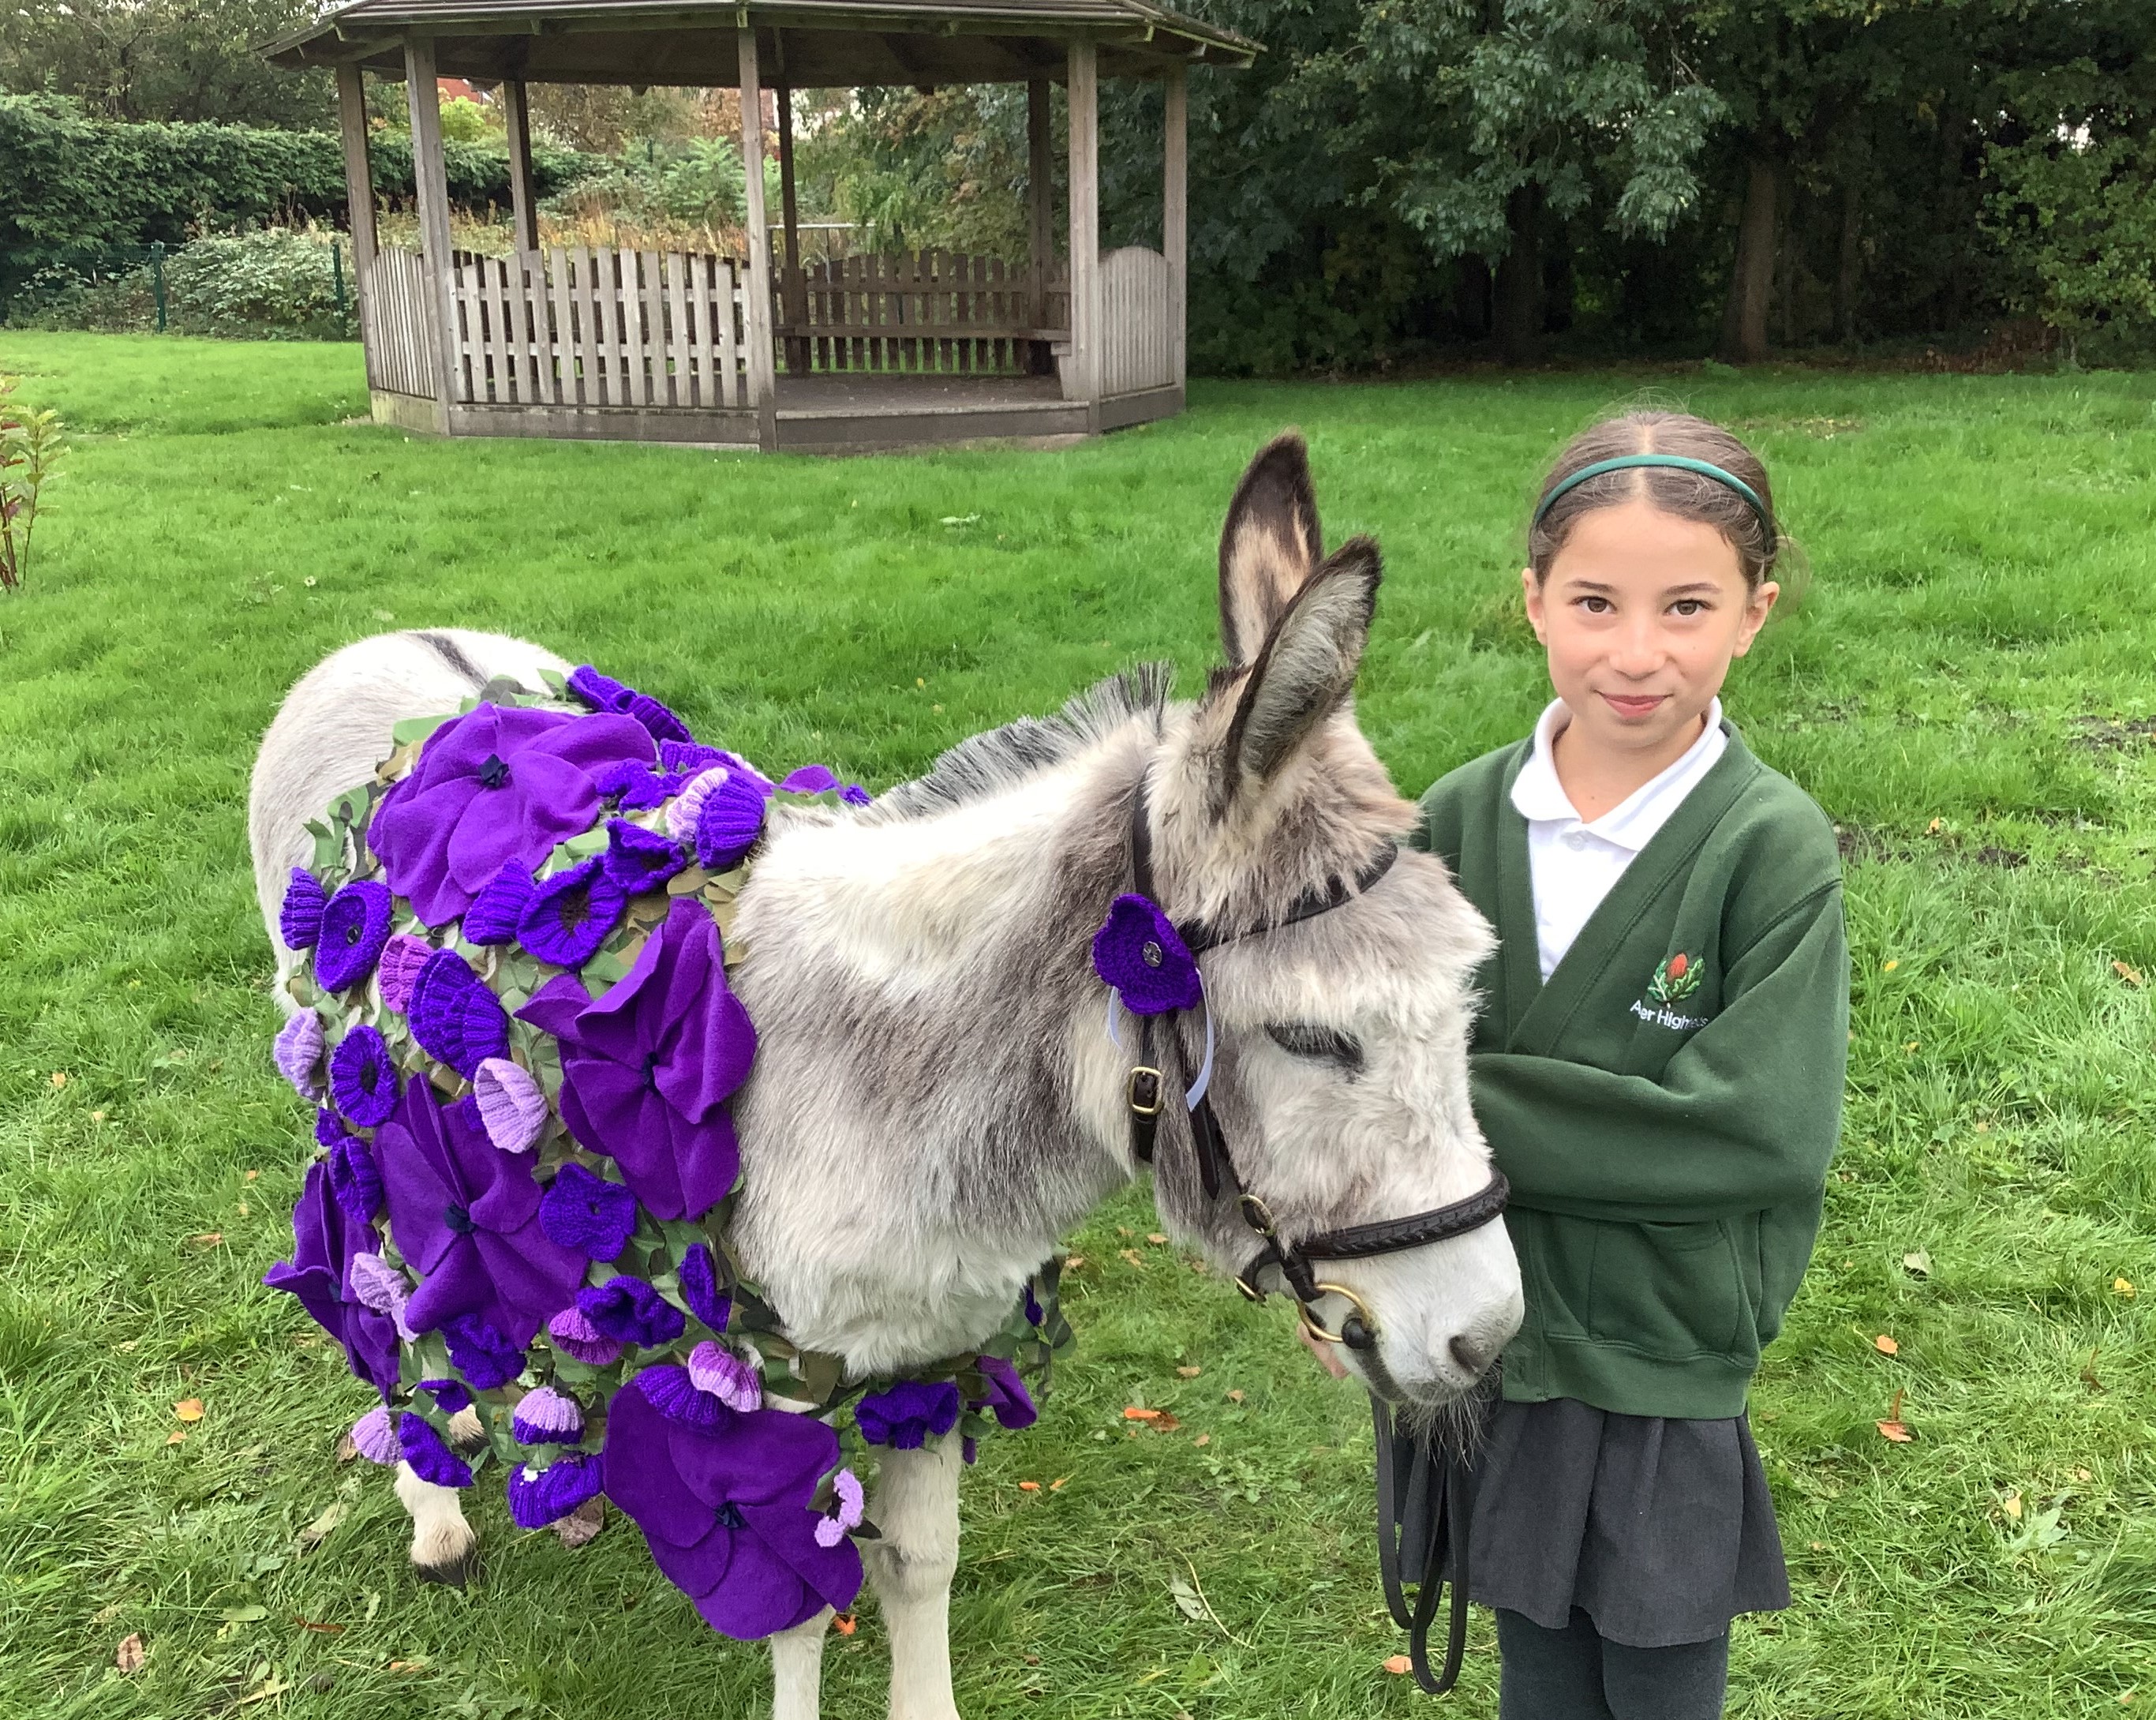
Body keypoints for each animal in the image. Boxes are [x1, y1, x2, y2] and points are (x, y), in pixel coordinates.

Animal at [247, 434, 1523, 1720]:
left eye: (1469, 991)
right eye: (1314, 1040)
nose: (1489, 1339)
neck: (897, 1096)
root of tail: (394, 643)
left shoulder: (933, 1359)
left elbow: (920, 1563)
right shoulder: (756, 1386)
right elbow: (798, 1594)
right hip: (346, 1096)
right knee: (380, 1293)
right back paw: (437, 1503)